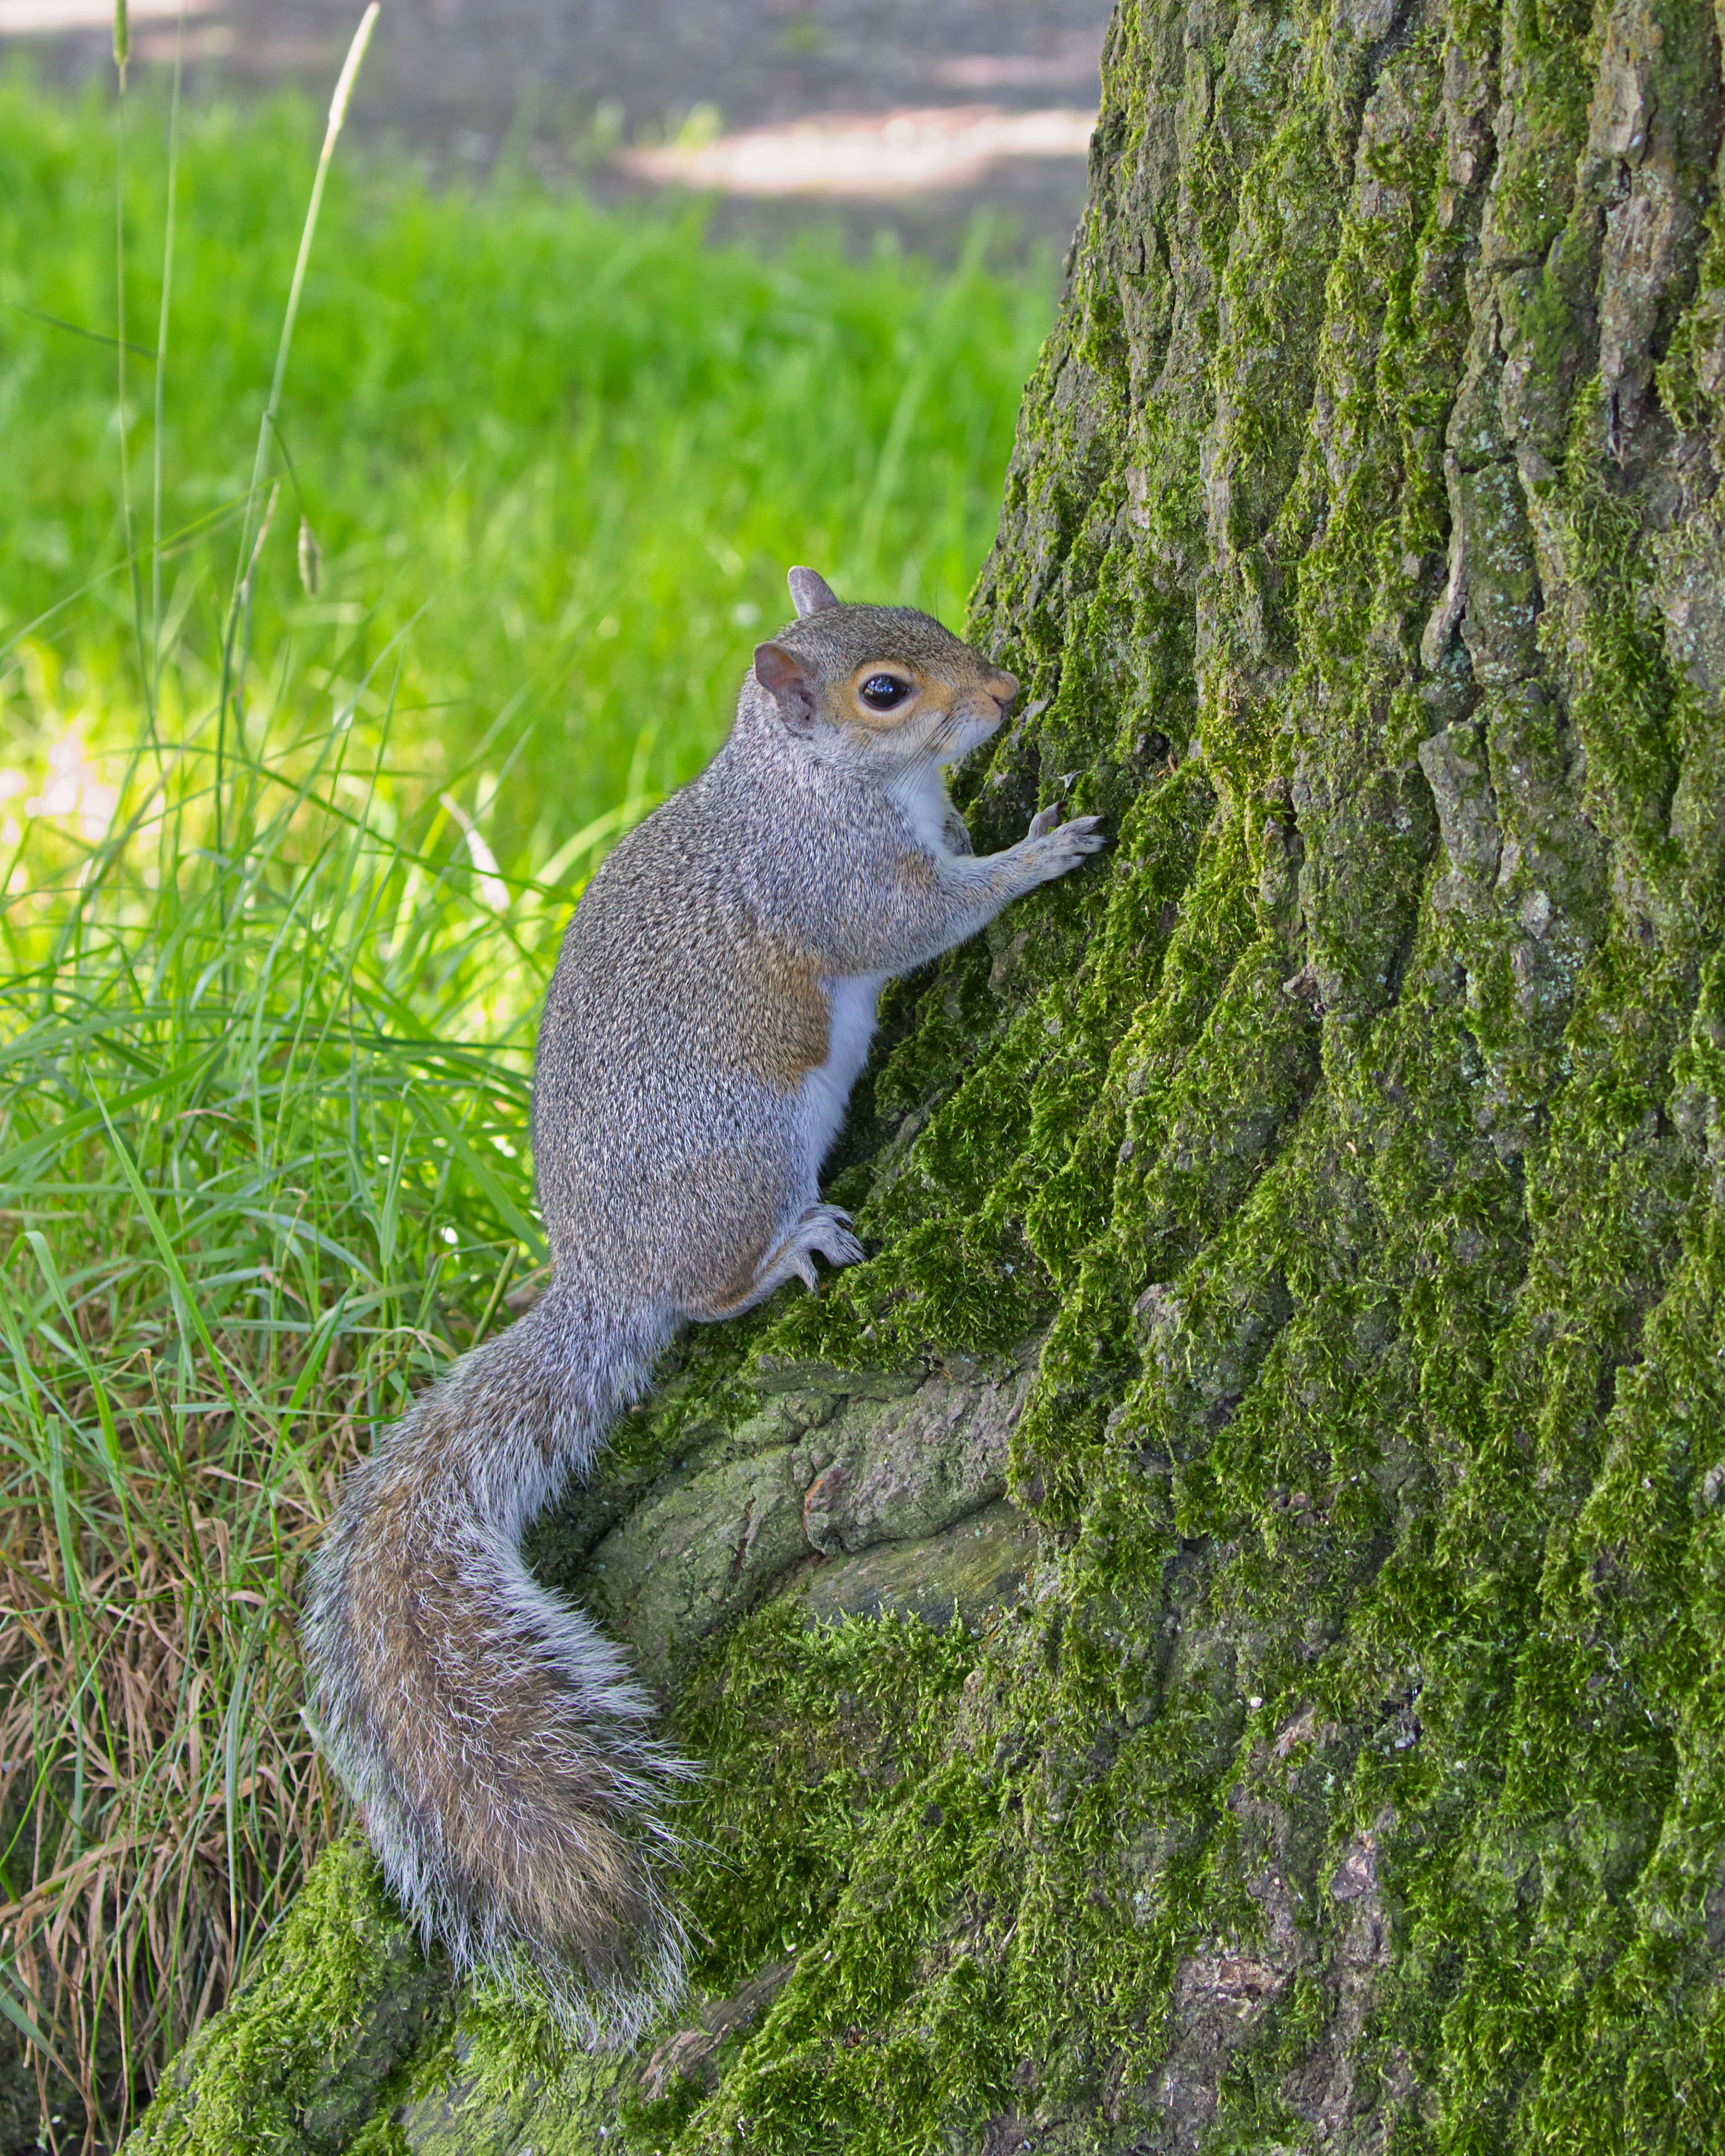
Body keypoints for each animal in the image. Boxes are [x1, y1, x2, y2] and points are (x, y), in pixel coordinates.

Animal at [302, 567, 1104, 2040]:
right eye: (884, 692)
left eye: (923, 621)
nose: (1006, 692)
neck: (802, 780)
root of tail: (602, 1279)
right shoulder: (830, 883)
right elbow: (916, 922)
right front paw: (1035, 853)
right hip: (744, 1153)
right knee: (715, 1296)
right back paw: (784, 1255)